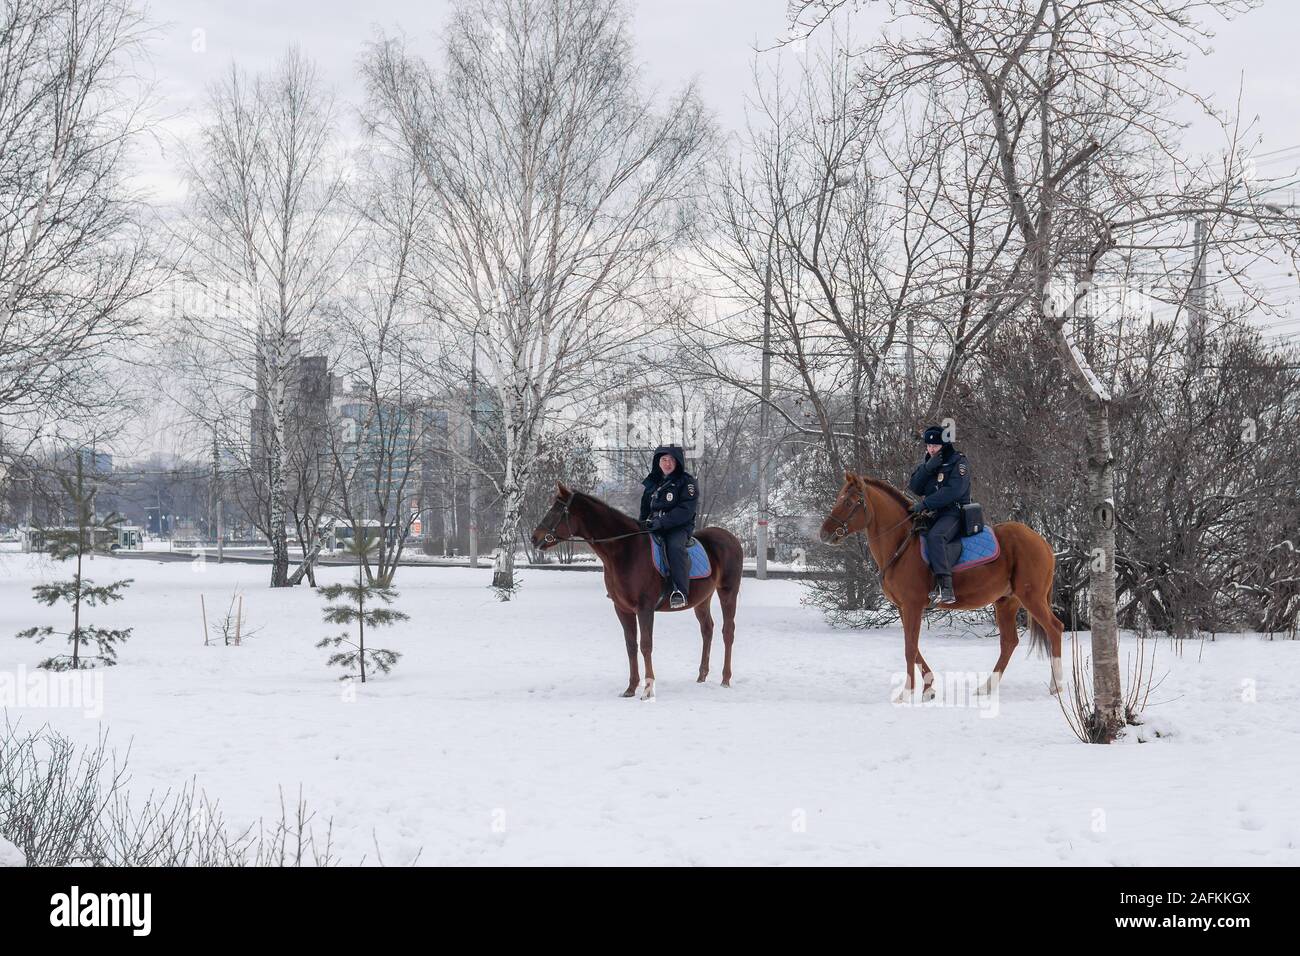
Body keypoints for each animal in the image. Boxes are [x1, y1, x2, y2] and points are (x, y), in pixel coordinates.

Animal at [531, 483, 744, 700]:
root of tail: (730, 537)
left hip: (728, 592)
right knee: (707, 629)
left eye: (556, 510)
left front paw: (647, 690)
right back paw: (701, 676)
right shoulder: (622, 609)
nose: (534, 538)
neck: (625, 550)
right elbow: (631, 646)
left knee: (728, 631)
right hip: (702, 599)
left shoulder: (645, 608)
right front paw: (631, 688)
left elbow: (646, 645)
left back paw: (725, 679)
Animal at [819, 471, 1065, 700]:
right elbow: (914, 647)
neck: (901, 545)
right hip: (1006, 602)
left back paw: (1057, 686)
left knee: (1055, 629)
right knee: (1009, 642)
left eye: (849, 502)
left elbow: (910, 648)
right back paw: (986, 687)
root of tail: (1041, 541)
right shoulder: (903, 608)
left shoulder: (913, 605)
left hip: (1031, 597)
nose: (824, 534)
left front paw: (907, 692)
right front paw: (928, 687)